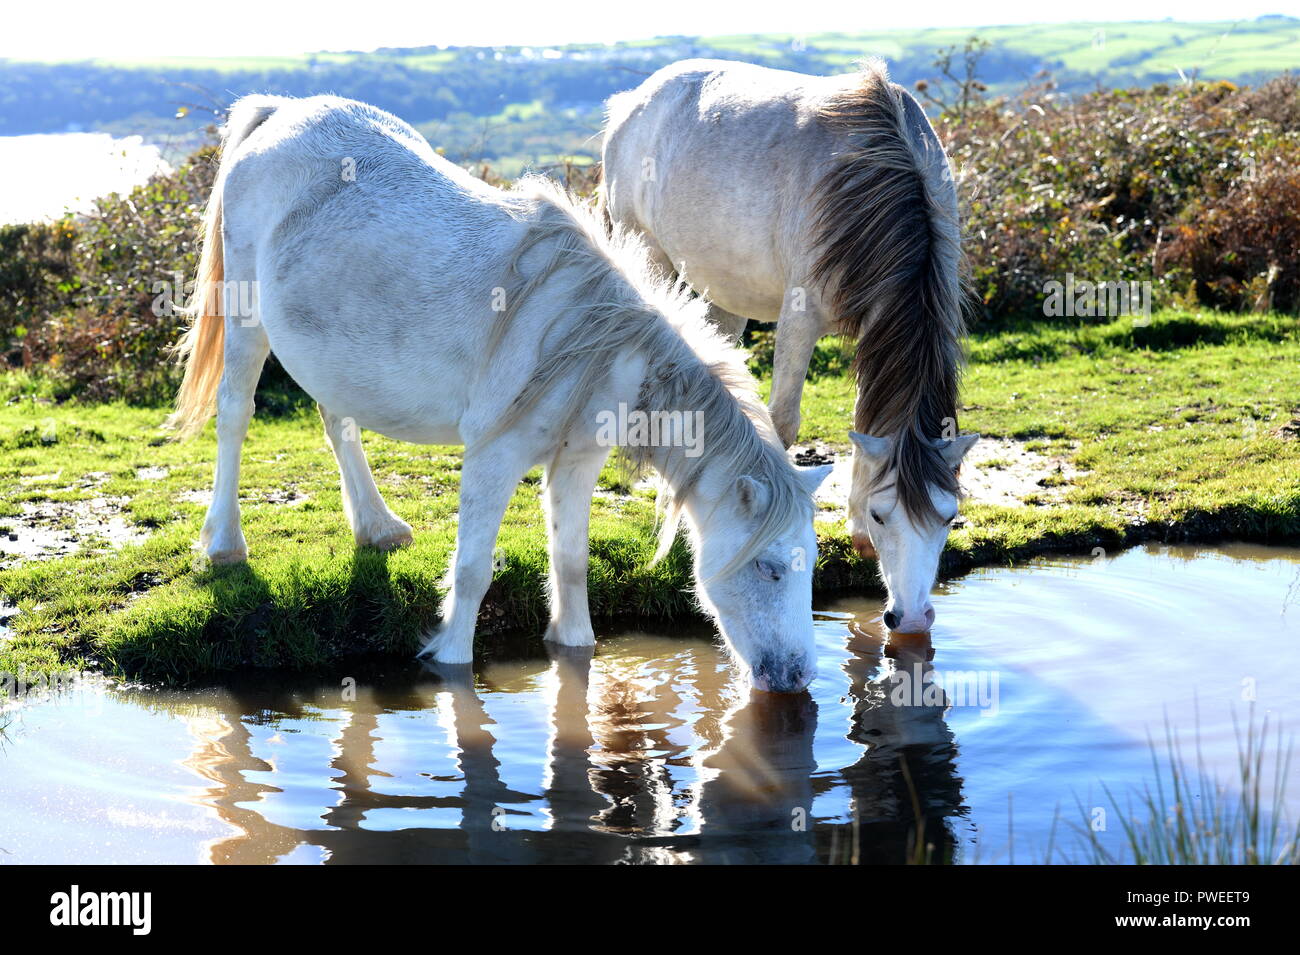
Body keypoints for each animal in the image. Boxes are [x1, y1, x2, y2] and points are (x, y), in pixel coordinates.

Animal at [168, 94, 832, 692]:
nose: (797, 677)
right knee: (235, 413)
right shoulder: (494, 456)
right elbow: (471, 571)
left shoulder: (577, 462)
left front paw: (572, 645)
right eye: (771, 570)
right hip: (246, 317)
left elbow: (570, 563)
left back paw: (377, 527)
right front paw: (450, 660)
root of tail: (282, 111)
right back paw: (225, 545)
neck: (591, 340)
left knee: (339, 421)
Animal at [601, 59, 979, 635]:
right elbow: (782, 423)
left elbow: (864, 426)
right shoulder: (799, 321)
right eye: (883, 514)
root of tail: (636, 99)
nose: (913, 618)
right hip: (646, 255)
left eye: (949, 516)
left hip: (722, 293)